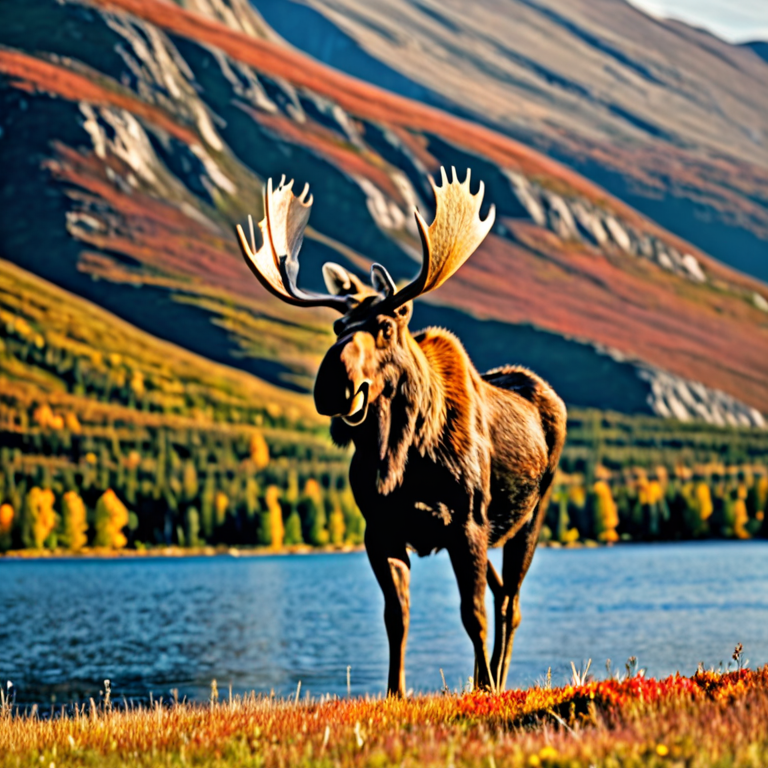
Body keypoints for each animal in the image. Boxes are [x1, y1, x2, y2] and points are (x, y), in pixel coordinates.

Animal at [236, 168, 567, 695]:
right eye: (337, 326)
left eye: (387, 327)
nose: (331, 384)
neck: (399, 455)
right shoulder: (381, 531)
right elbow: (397, 617)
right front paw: (396, 692)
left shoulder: (466, 523)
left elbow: (471, 614)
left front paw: (482, 688)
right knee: (500, 593)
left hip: (531, 515)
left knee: (510, 603)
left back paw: (495, 679)